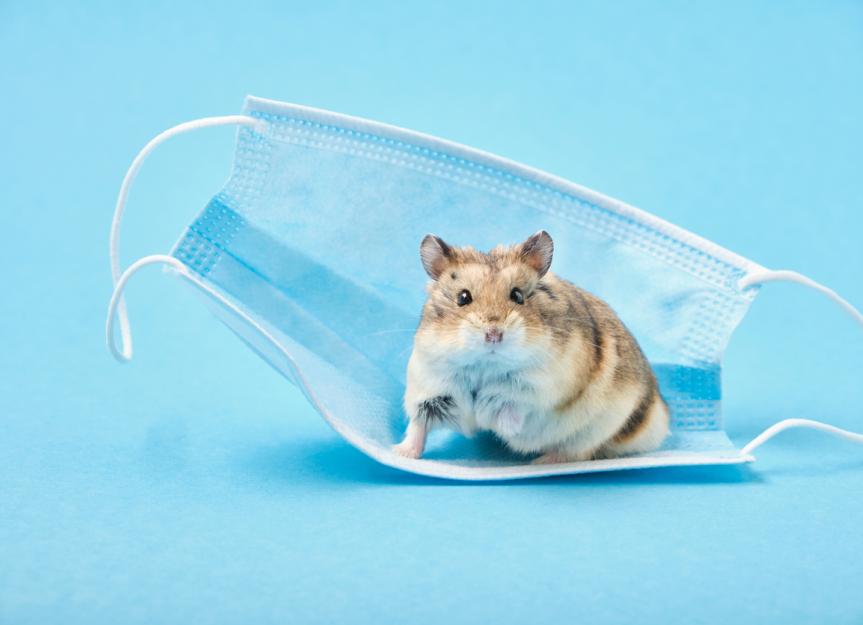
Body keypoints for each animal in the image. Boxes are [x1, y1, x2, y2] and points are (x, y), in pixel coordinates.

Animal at [393, 230, 669, 463]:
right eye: (463, 297)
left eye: (517, 295)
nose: (494, 334)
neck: (486, 366)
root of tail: (661, 415)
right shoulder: (429, 388)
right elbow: (418, 425)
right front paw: (402, 454)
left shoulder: (541, 384)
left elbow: (510, 402)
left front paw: (499, 425)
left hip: (595, 431)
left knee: (574, 452)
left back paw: (542, 461)